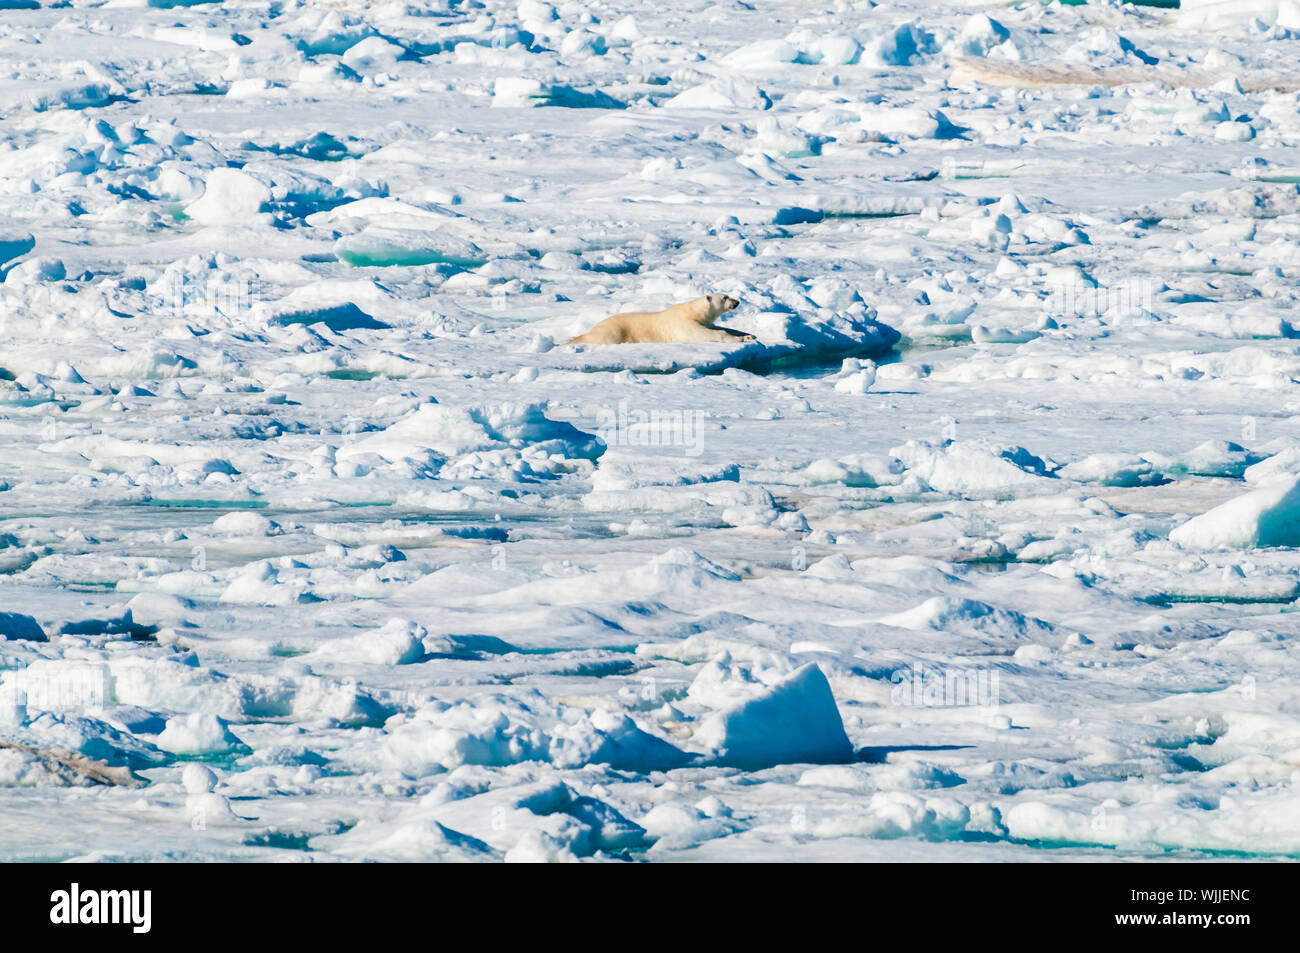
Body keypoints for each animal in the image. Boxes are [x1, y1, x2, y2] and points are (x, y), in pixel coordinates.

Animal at [566, 293, 754, 346]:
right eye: (724, 297)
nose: (737, 302)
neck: (693, 312)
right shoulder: (684, 325)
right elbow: (708, 334)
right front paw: (738, 339)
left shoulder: (704, 321)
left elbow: (719, 328)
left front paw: (749, 335)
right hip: (613, 331)